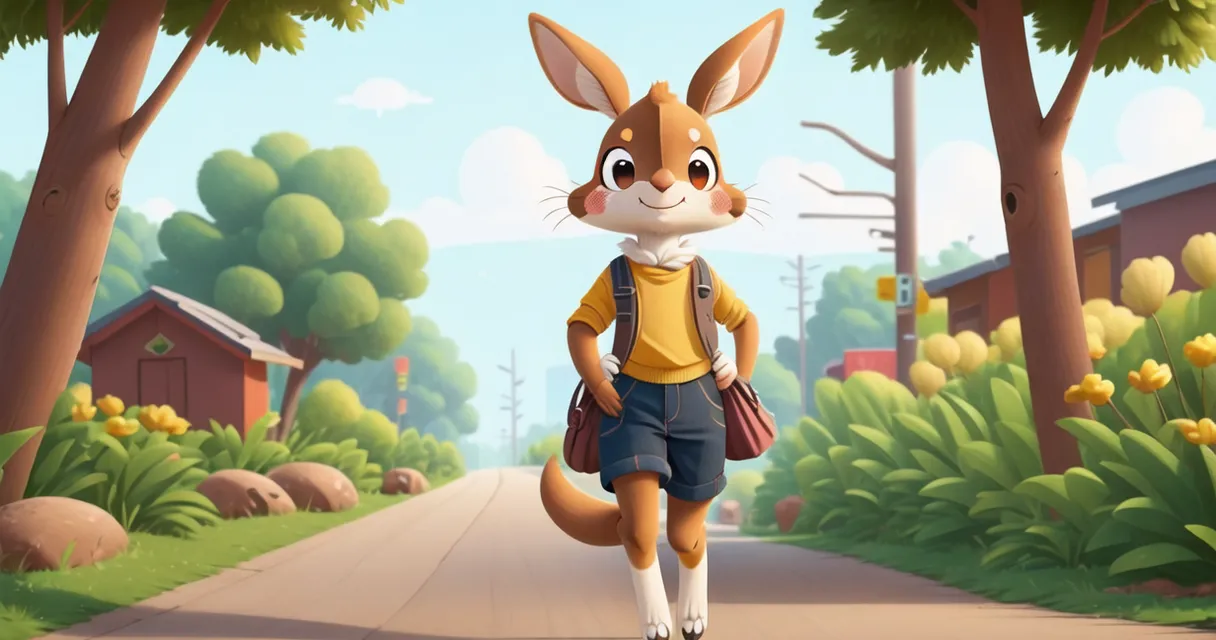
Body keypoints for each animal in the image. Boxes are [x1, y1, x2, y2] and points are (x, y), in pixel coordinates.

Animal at [528, 9, 784, 640]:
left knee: (689, 531)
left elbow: (743, 321)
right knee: (644, 529)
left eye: (700, 167)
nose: (665, 184)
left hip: (705, 457)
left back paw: (694, 614)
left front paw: (727, 370)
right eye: (620, 168)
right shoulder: (628, 443)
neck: (662, 257)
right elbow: (581, 331)